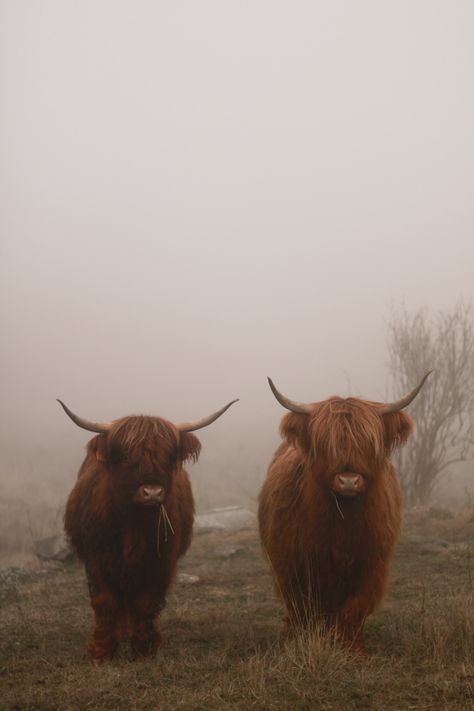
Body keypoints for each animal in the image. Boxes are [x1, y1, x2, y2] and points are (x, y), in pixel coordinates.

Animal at [258, 376, 432, 652]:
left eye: (369, 444)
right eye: (326, 444)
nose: (349, 481)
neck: (342, 523)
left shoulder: (371, 566)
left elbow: (354, 610)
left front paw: (353, 649)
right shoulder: (292, 565)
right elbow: (303, 608)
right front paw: (299, 641)